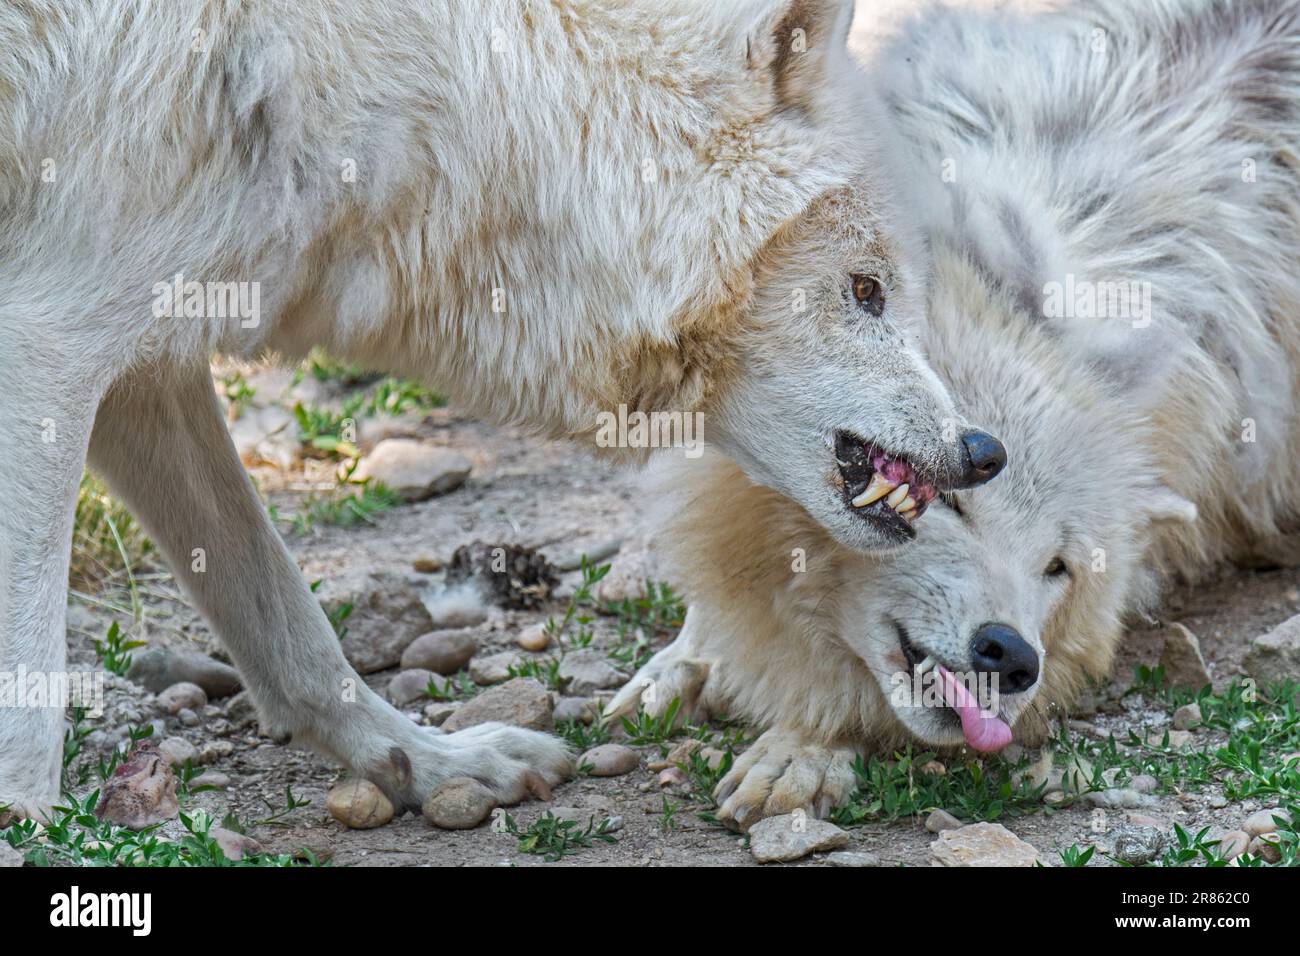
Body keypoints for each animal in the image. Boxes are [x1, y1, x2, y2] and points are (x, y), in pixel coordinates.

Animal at [0, 0, 1009, 818]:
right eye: (867, 289)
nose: (982, 451)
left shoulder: (147, 364)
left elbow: (285, 617)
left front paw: (430, 765)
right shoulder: (44, 339)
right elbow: (29, 704)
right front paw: (32, 828)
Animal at [608, 0, 1300, 831]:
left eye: (1058, 566)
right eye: (951, 503)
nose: (1013, 655)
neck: (1010, 288)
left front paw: (804, 748)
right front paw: (687, 661)